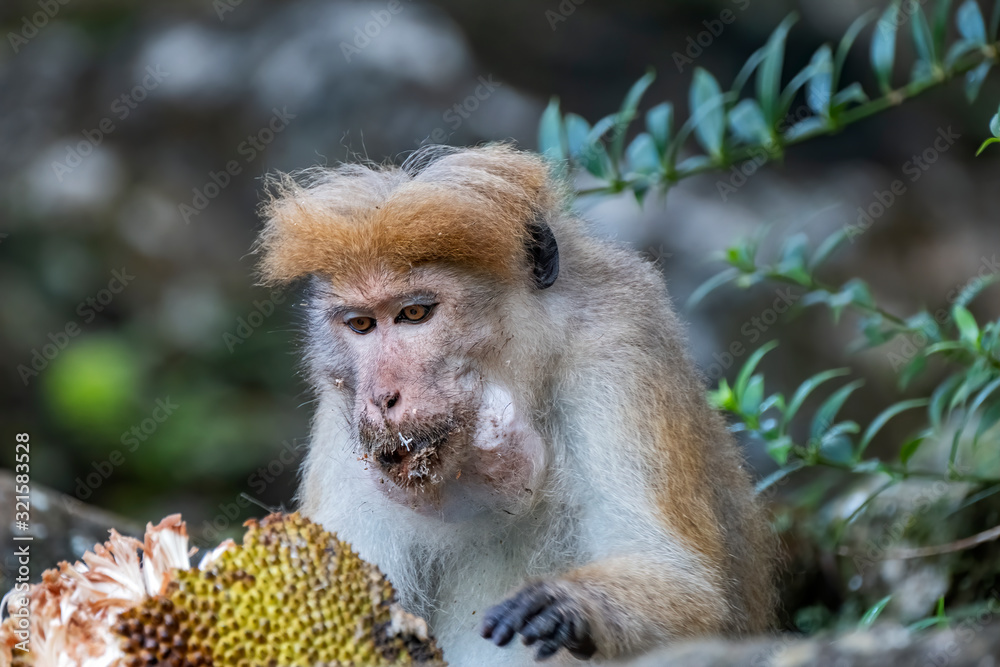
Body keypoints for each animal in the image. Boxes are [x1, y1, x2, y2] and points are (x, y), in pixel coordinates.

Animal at [253, 143, 776, 665]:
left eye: (415, 313)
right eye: (361, 325)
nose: (382, 397)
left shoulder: (619, 348)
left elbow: (688, 588)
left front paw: (570, 606)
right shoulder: (341, 415)